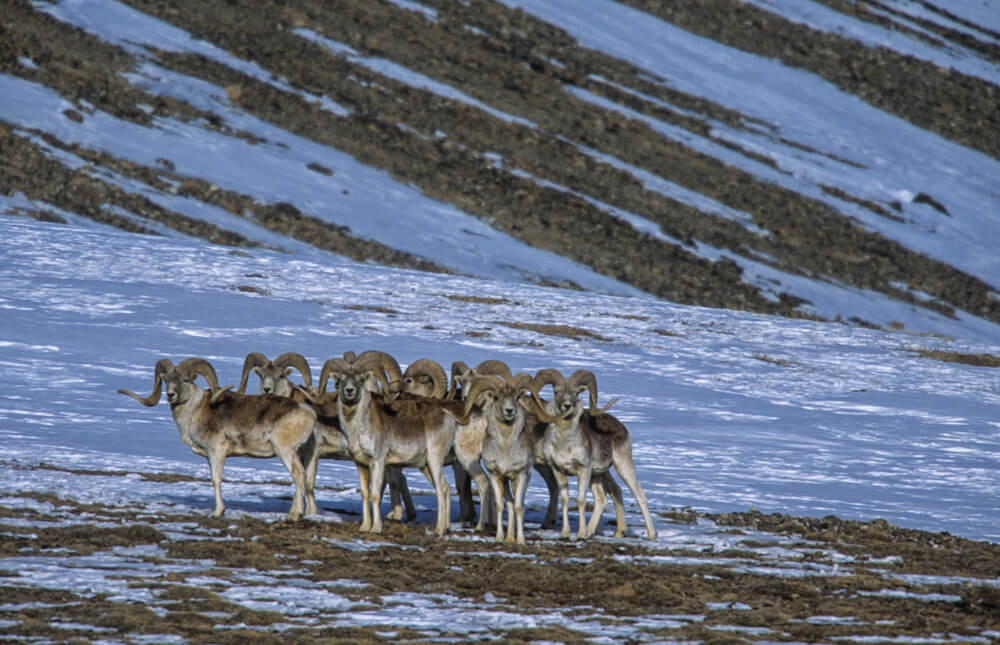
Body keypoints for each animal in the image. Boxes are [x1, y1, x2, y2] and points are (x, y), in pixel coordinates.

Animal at [117, 357, 317, 520]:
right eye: (166, 380)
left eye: (185, 379)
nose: (171, 395)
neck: (195, 412)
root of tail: (309, 413)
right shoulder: (208, 456)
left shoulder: (217, 452)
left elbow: (216, 480)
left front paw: (218, 512)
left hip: (285, 451)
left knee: (298, 476)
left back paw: (295, 515)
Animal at [319, 354, 484, 536]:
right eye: (340, 379)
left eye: (361, 379)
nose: (349, 391)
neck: (356, 428)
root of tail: (448, 417)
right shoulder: (361, 464)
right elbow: (365, 494)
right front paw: (364, 527)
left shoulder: (378, 462)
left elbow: (376, 494)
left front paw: (376, 529)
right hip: (427, 465)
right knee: (446, 488)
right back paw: (443, 528)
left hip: (439, 460)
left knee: (444, 488)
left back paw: (441, 530)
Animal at [533, 368, 657, 540]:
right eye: (556, 392)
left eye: (576, 393)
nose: (567, 406)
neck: (564, 443)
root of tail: (621, 427)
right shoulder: (558, 471)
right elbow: (564, 500)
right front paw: (565, 534)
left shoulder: (583, 470)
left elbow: (580, 501)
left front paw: (580, 534)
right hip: (599, 474)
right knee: (603, 497)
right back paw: (604, 532)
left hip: (622, 466)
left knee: (639, 494)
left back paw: (651, 535)